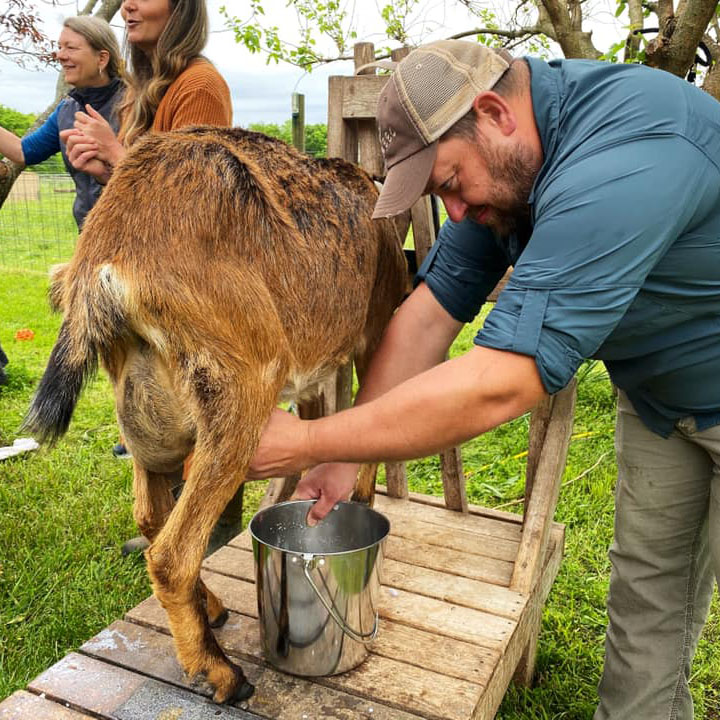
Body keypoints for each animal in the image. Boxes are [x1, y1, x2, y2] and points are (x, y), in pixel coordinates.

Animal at [25, 125, 408, 704]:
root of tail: (105, 258)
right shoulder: (370, 331)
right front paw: (359, 495)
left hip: (141, 406)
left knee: (151, 517)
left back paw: (212, 608)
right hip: (242, 386)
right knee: (171, 553)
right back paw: (223, 673)